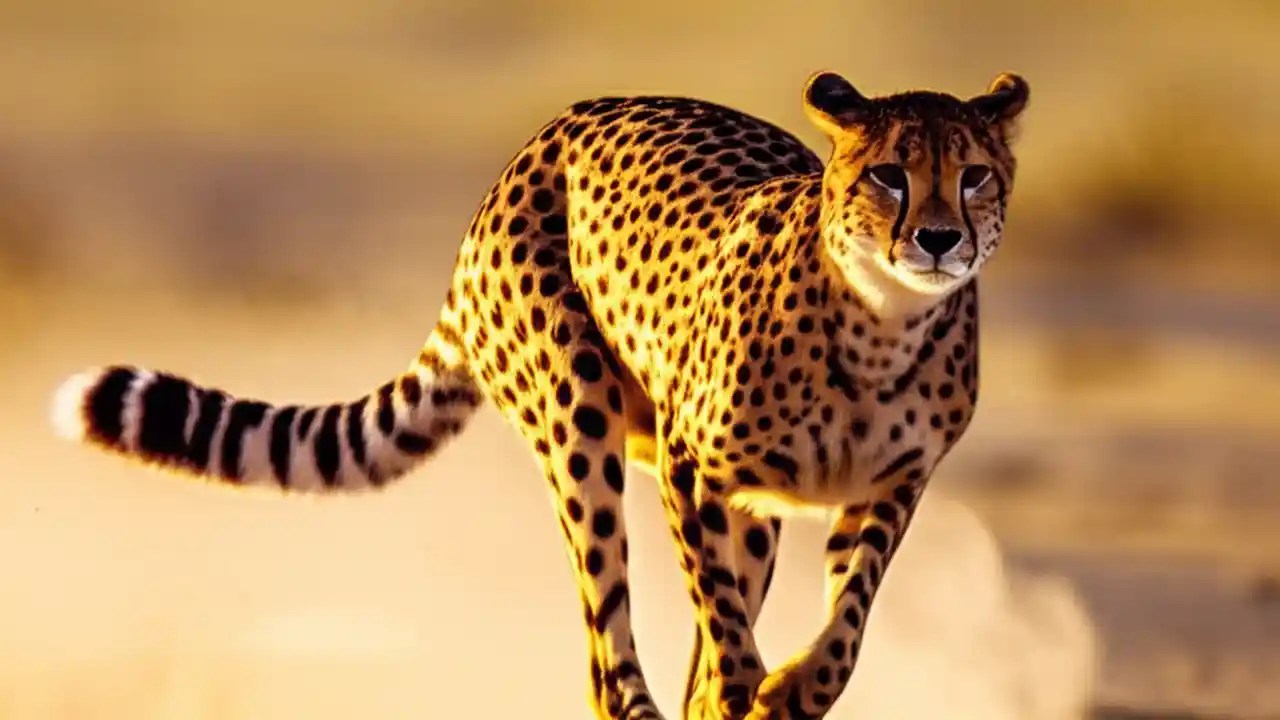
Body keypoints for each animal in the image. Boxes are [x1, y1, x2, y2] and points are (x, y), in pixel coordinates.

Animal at [51, 69, 1029, 720]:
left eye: (974, 174)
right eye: (889, 175)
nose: (938, 238)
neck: (880, 326)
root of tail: (545, 135)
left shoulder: (889, 487)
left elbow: (845, 623)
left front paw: (789, 689)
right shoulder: (691, 465)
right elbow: (719, 618)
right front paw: (747, 684)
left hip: (743, 507)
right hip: (580, 412)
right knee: (605, 657)